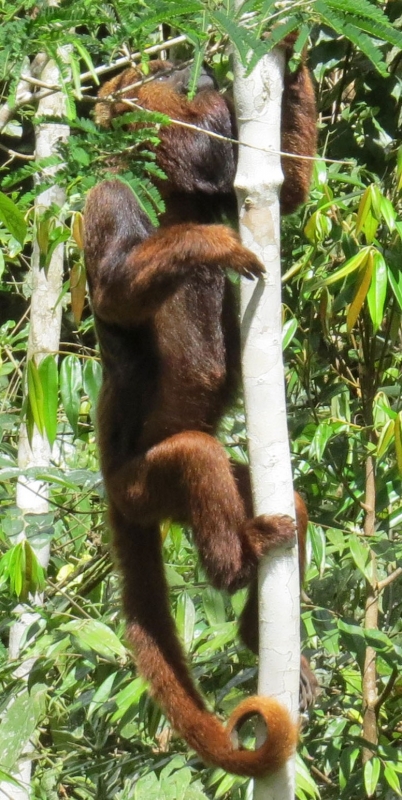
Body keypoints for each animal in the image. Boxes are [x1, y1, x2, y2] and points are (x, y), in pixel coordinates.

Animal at [84, 50, 317, 776]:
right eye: (164, 71)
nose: (196, 63)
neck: (176, 191)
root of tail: (111, 489)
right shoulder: (109, 192)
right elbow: (113, 288)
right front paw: (210, 245)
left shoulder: (225, 190)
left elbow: (289, 193)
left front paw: (296, 54)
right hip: (141, 487)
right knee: (195, 455)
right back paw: (235, 567)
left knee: (288, 502)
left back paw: (258, 621)